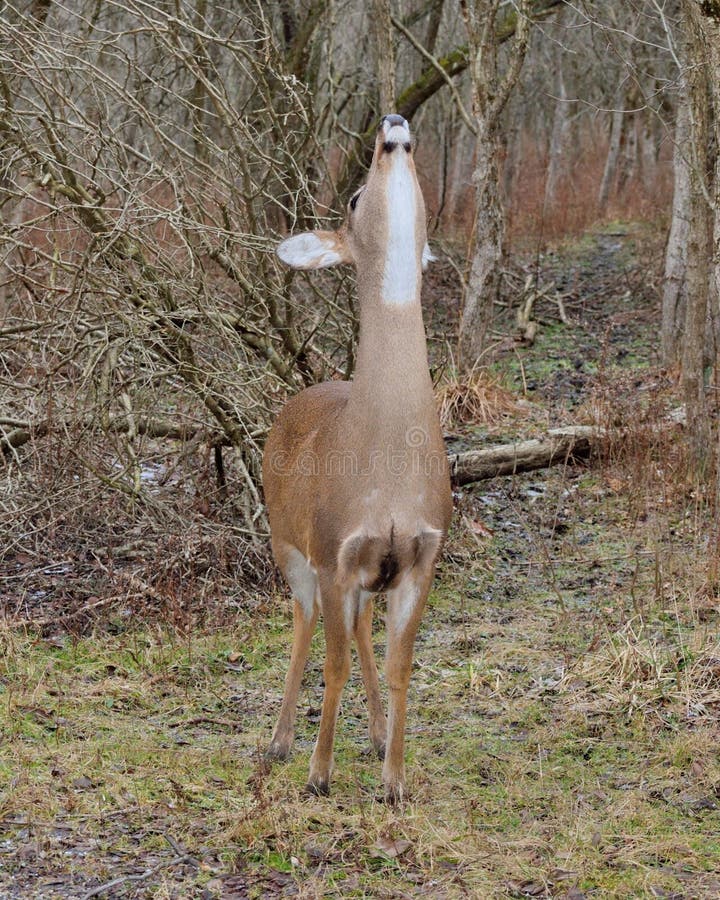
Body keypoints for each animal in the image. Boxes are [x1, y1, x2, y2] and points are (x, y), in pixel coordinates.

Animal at [262, 114, 452, 803]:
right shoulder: (332, 551)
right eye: (351, 198)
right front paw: (319, 773)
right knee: (303, 623)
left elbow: (401, 665)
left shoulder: (420, 555)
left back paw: (372, 736)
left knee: (360, 627)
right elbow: (334, 661)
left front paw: (395, 779)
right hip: (286, 543)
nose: (393, 123)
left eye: (421, 175)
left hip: (372, 573)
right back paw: (281, 742)